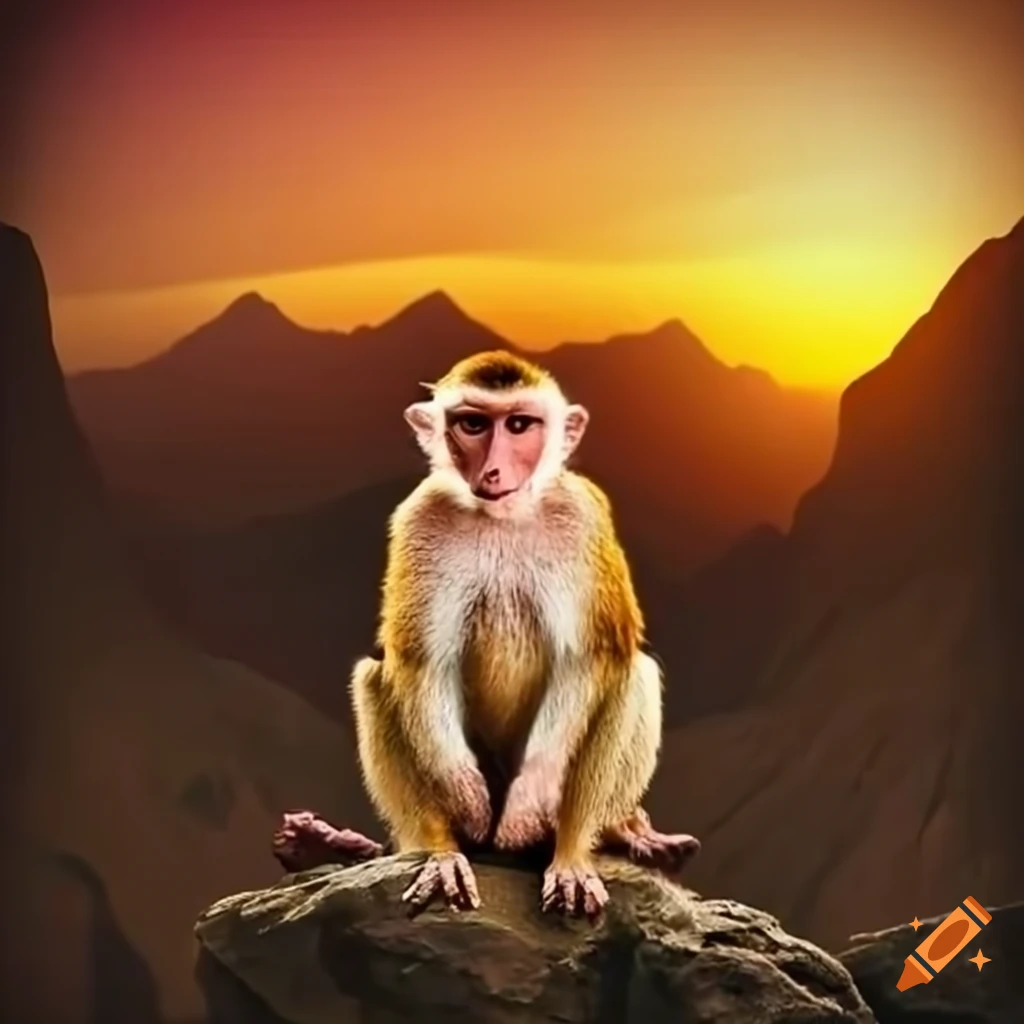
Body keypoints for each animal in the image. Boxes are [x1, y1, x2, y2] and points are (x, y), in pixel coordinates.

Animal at [271, 350, 699, 916]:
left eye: (519, 425)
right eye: (473, 425)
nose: (494, 468)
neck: (504, 516)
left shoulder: (583, 516)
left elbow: (591, 657)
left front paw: (532, 803)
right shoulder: (422, 518)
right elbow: (420, 660)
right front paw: (464, 798)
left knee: (631, 674)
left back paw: (583, 846)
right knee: (374, 677)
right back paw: (440, 850)